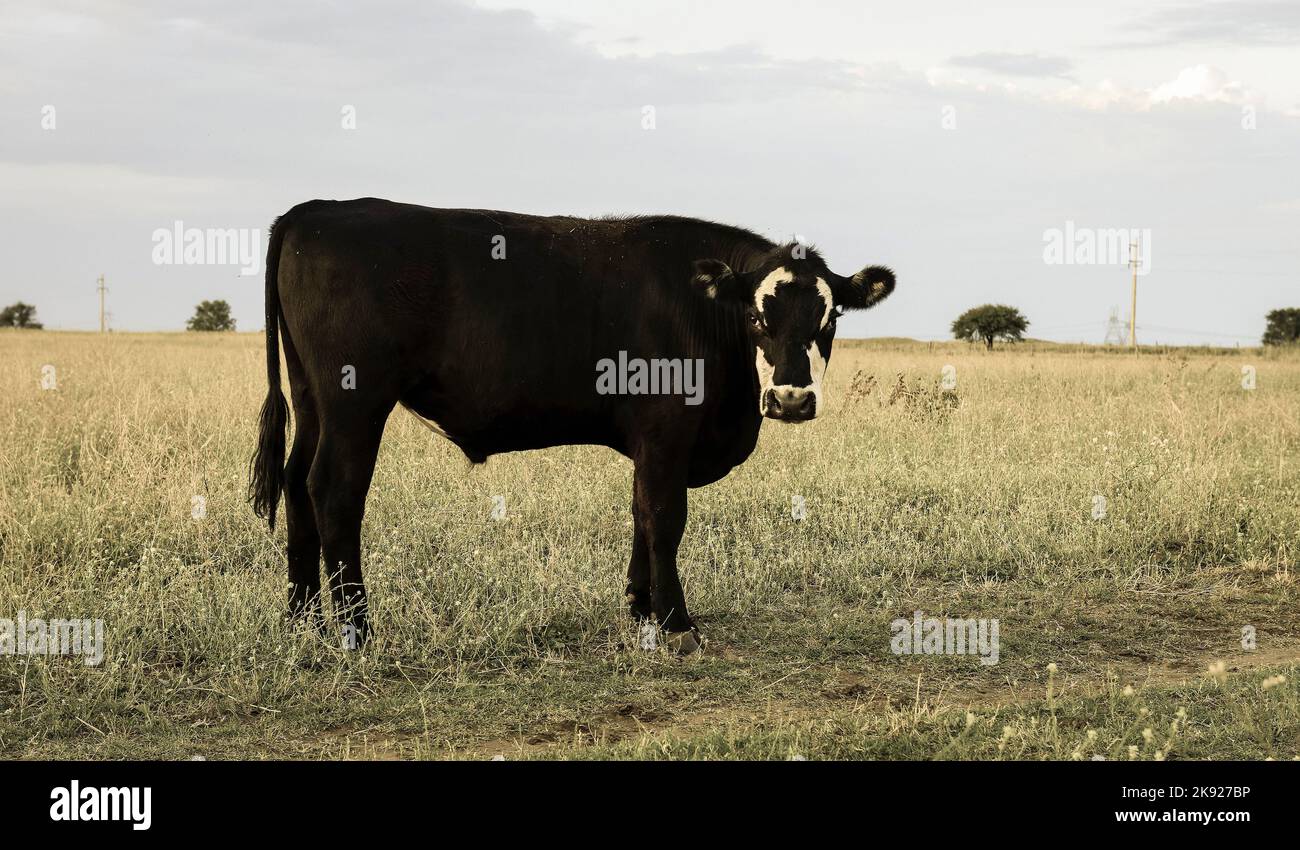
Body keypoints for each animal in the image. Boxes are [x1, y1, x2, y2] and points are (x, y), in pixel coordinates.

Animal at [249, 198, 895, 653]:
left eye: (830, 318)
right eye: (758, 316)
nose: (792, 398)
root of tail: (319, 209)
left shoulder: (652, 443)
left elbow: (640, 513)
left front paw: (641, 607)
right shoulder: (666, 430)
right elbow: (665, 516)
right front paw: (676, 624)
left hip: (313, 399)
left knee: (295, 482)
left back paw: (302, 618)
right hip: (354, 403)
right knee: (334, 492)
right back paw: (355, 630)